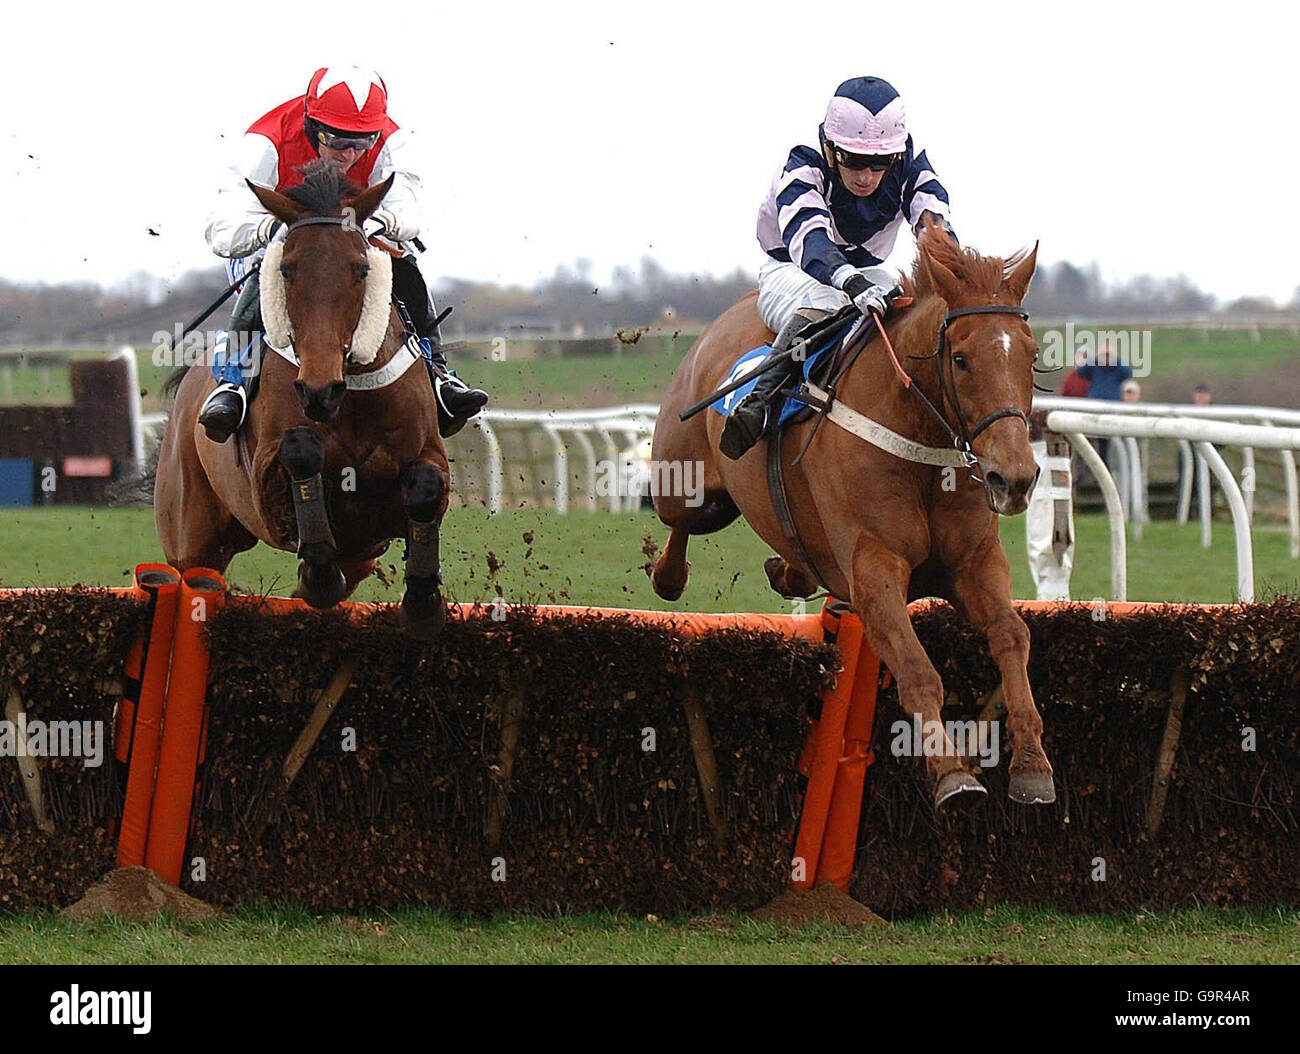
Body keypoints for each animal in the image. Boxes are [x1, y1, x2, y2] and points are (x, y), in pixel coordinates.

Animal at [154, 162, 449, 637]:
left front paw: (423, 601)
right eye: (287, 271)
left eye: (361, 269)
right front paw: (318, 574)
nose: (318, 390)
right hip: (191, 538)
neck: (352, 397)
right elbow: (300, 451)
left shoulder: (424, 460)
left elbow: (425, 486)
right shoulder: (265, 470)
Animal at [650, 220, 1055, 806]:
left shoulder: (975, 563)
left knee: (792, 555)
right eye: (960, 359)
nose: (1015, 477)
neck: (919, 442)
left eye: (1031, 354)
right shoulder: (874, 569)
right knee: (678, 528)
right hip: (686, 485)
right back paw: (669, 576)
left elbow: (1011, 635)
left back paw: (790, 570)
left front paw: (1032, 764)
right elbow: (917, 670)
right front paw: (950, 773)